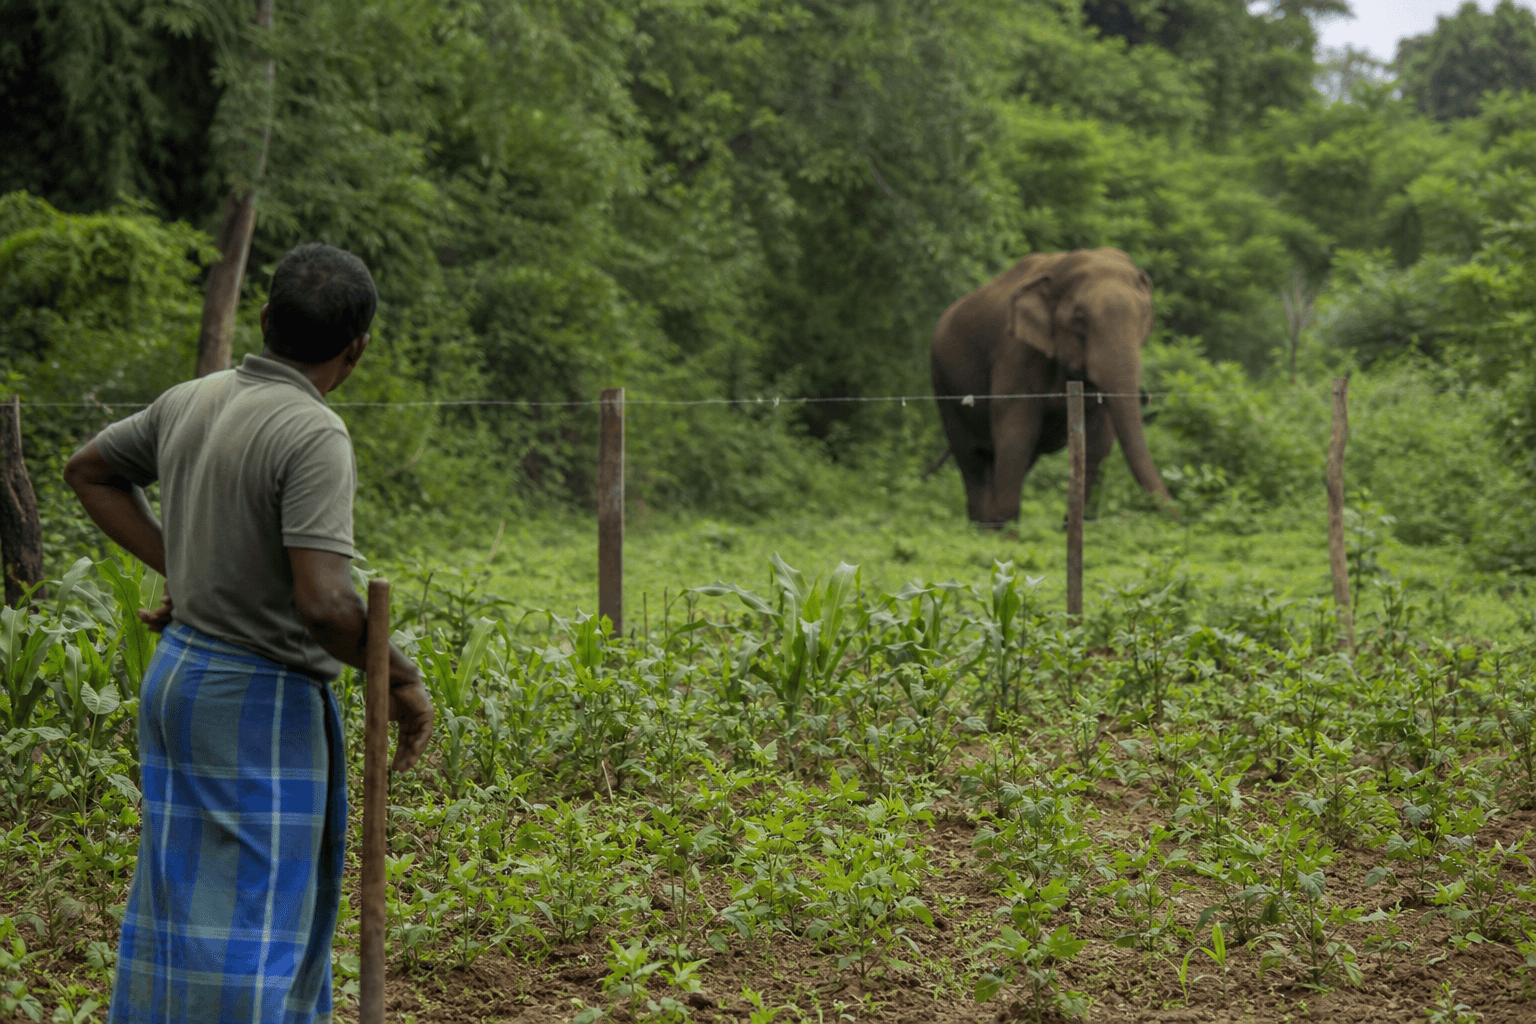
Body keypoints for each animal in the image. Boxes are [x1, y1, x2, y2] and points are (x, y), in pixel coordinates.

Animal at [929, 247, 1175, 525]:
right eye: (1079, 319)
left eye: (1143, 316)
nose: (1177, 518)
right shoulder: (1014, 352)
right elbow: (1016, 431)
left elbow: (1099, 440)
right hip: (942, 381)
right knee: (971, 459)